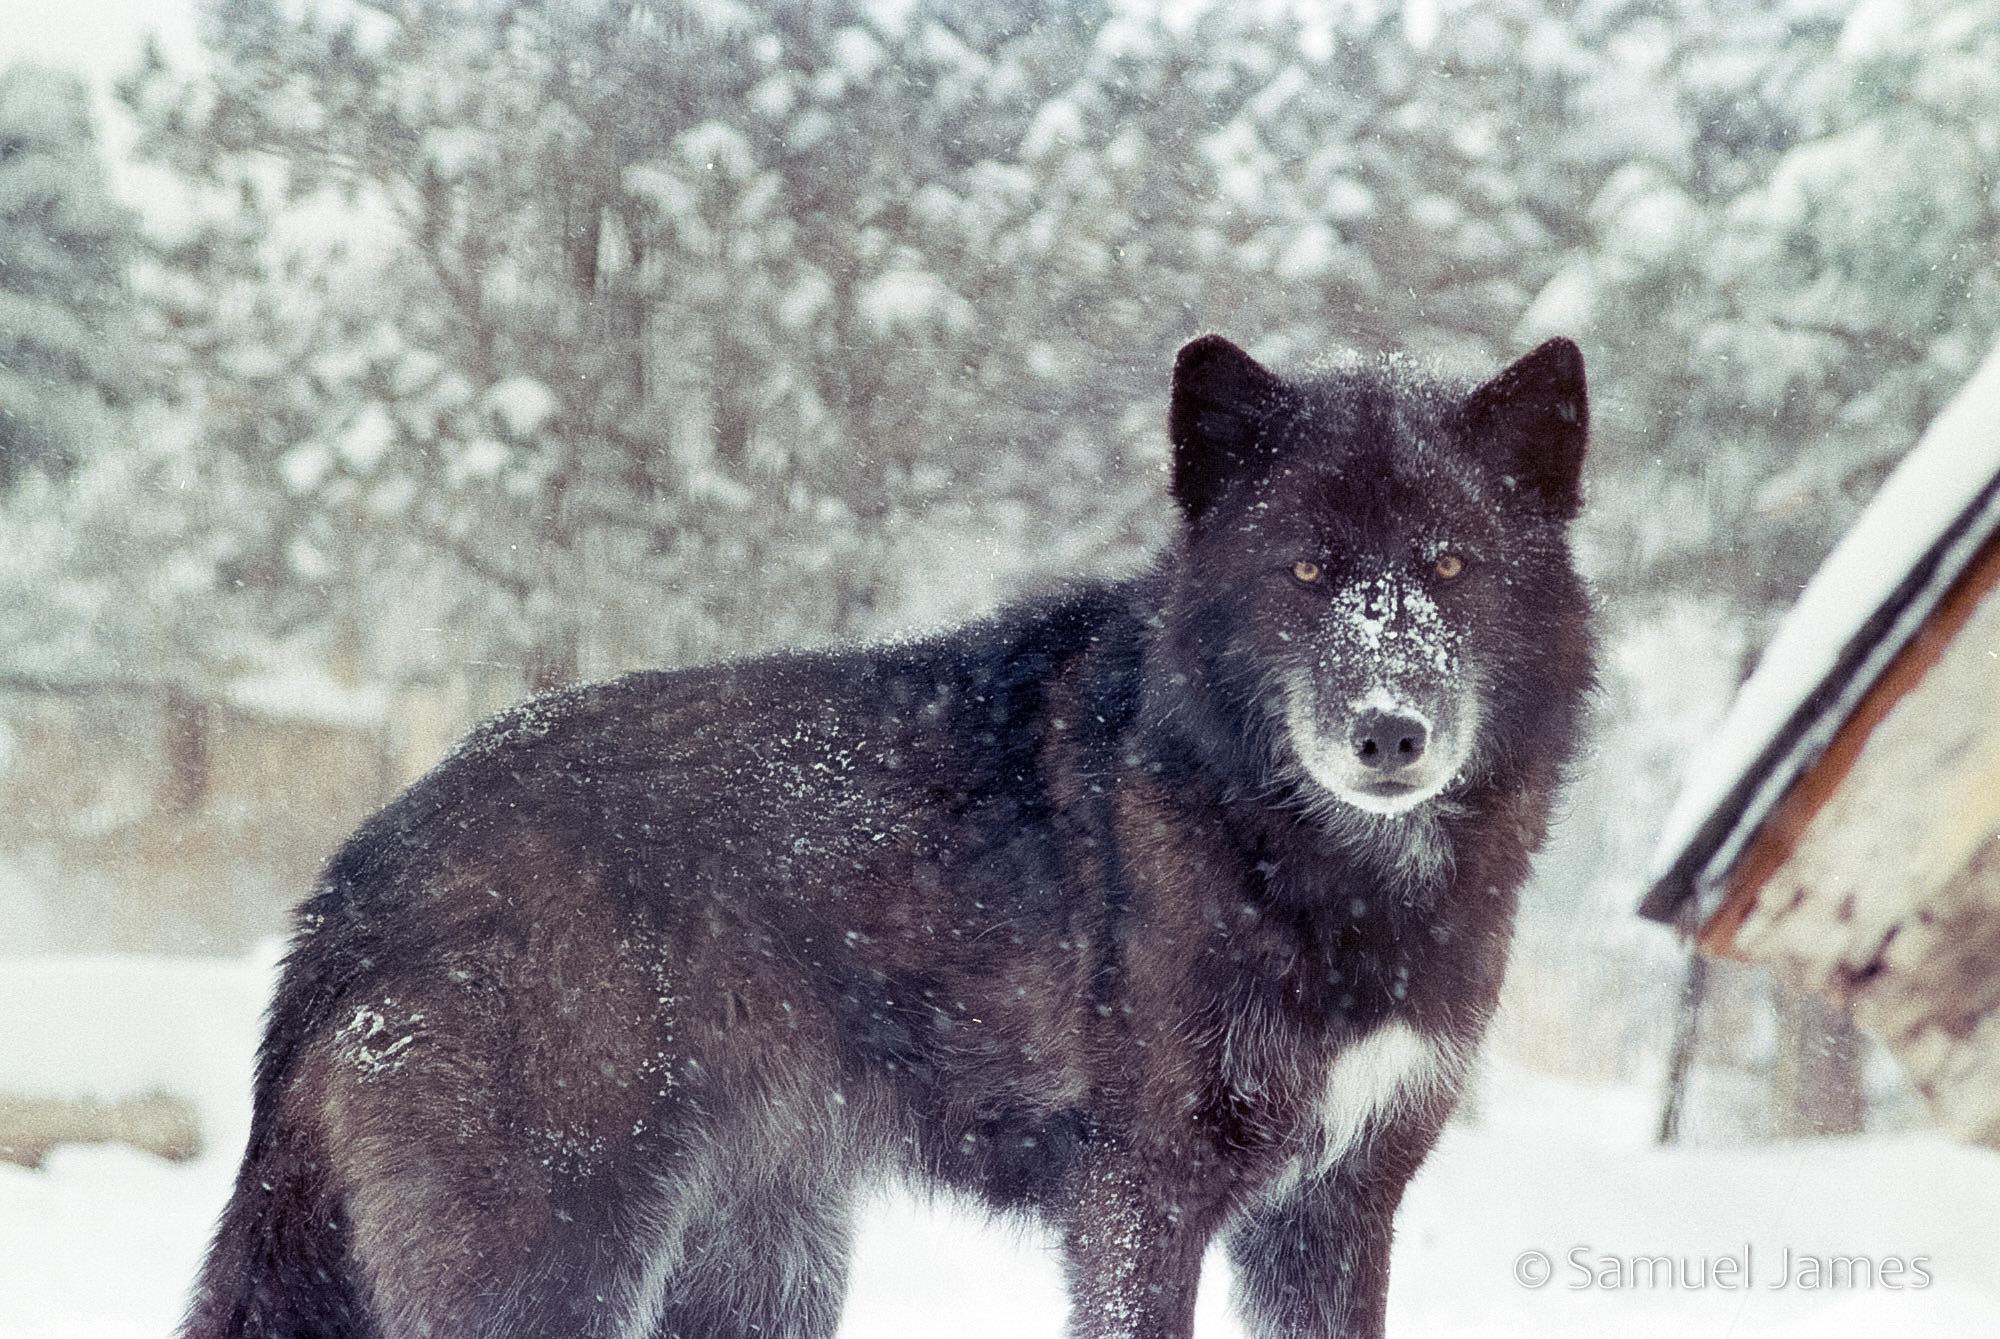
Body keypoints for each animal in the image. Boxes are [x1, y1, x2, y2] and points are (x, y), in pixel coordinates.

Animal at [183, 334, 1595, 1339]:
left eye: (1450, 567)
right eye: (1305, 571)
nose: (1386, 733)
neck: (1328, 878)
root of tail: (365, 861)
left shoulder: (1335, 1213)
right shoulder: (1139, 1198)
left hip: (764, 1265)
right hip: (557, 1260)